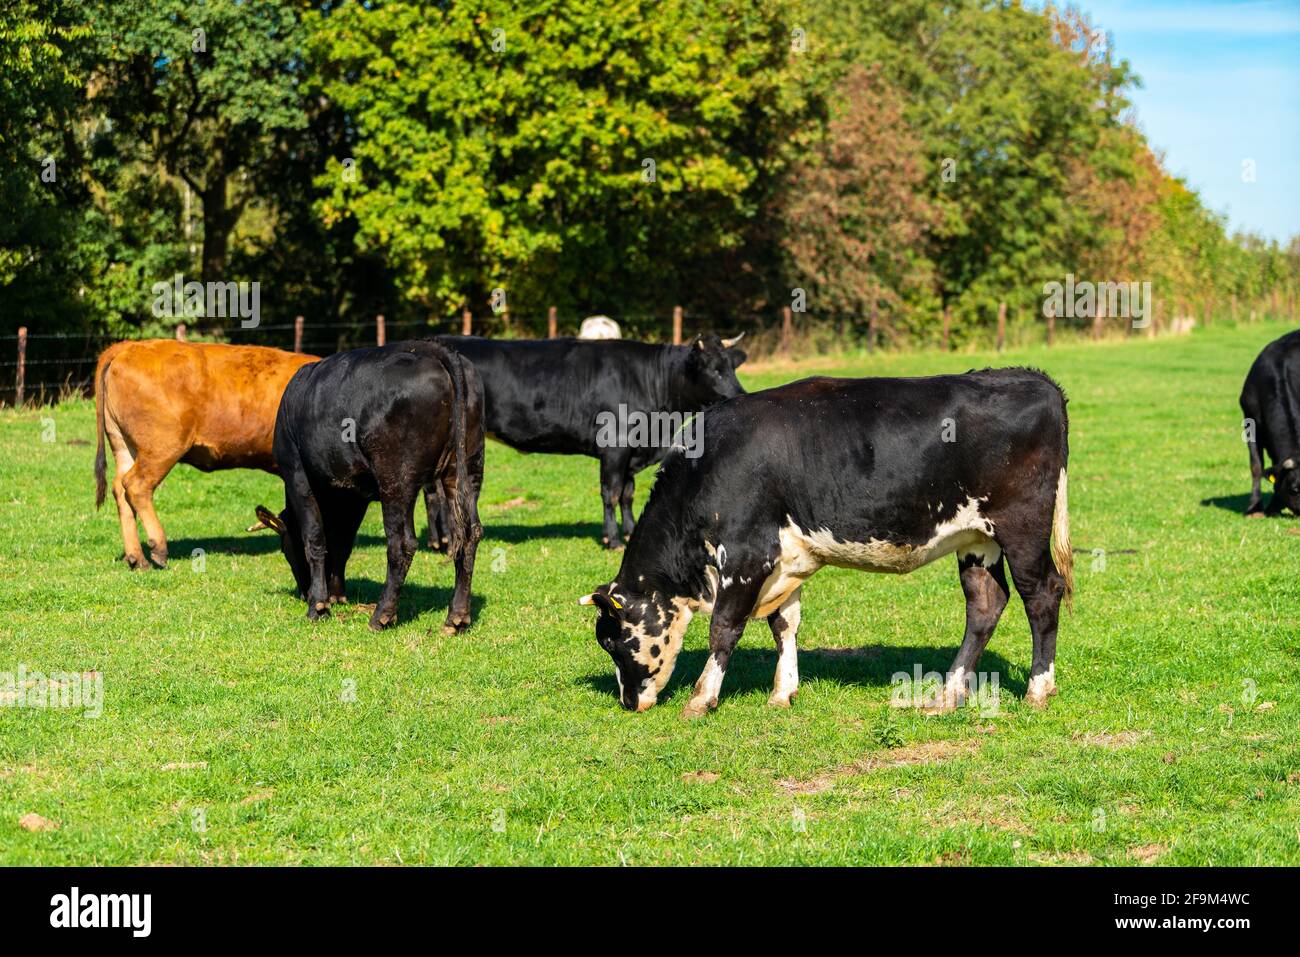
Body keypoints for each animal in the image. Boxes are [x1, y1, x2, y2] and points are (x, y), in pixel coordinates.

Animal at [94, 340, 319, 569]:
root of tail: (129, 346)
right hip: (162, 448)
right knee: (136, 485)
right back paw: (158, 547)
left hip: (124, 445)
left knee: (120, 489)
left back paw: (136, 558)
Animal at [255, 341, 484, 633]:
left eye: (284, 547)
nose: (303, 592)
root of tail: (431, 349)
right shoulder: (354, 495)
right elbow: (342, 542)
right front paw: (336, 594)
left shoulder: (296, 474)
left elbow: (315, 538)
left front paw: (319, 604)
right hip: (467, 466)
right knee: (468, 534)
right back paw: (457, 617)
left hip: (396, 477)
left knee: (402, 543)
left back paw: (381, 615)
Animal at [433, 333, 746, 548]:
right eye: (713, 369)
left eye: (732, 367)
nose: (739, 395)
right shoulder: (615, 446)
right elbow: (612, 492)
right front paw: (613, 539)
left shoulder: (632, 451)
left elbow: (628, 494)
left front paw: (630, 531)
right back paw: (446, 540)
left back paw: (438, 541)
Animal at [580, 368, 1073, 717]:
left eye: (611, 641)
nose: (627, 703)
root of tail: (1033, 377)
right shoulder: (785, 560)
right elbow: (784, 624)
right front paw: (782, 693)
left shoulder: (745, 554)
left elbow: (724, 627)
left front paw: (702, 699)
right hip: (976, 538)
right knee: (985, 604)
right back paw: (948, 695)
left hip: (1022, 526)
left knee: (1042, 594)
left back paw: (1037, 690)